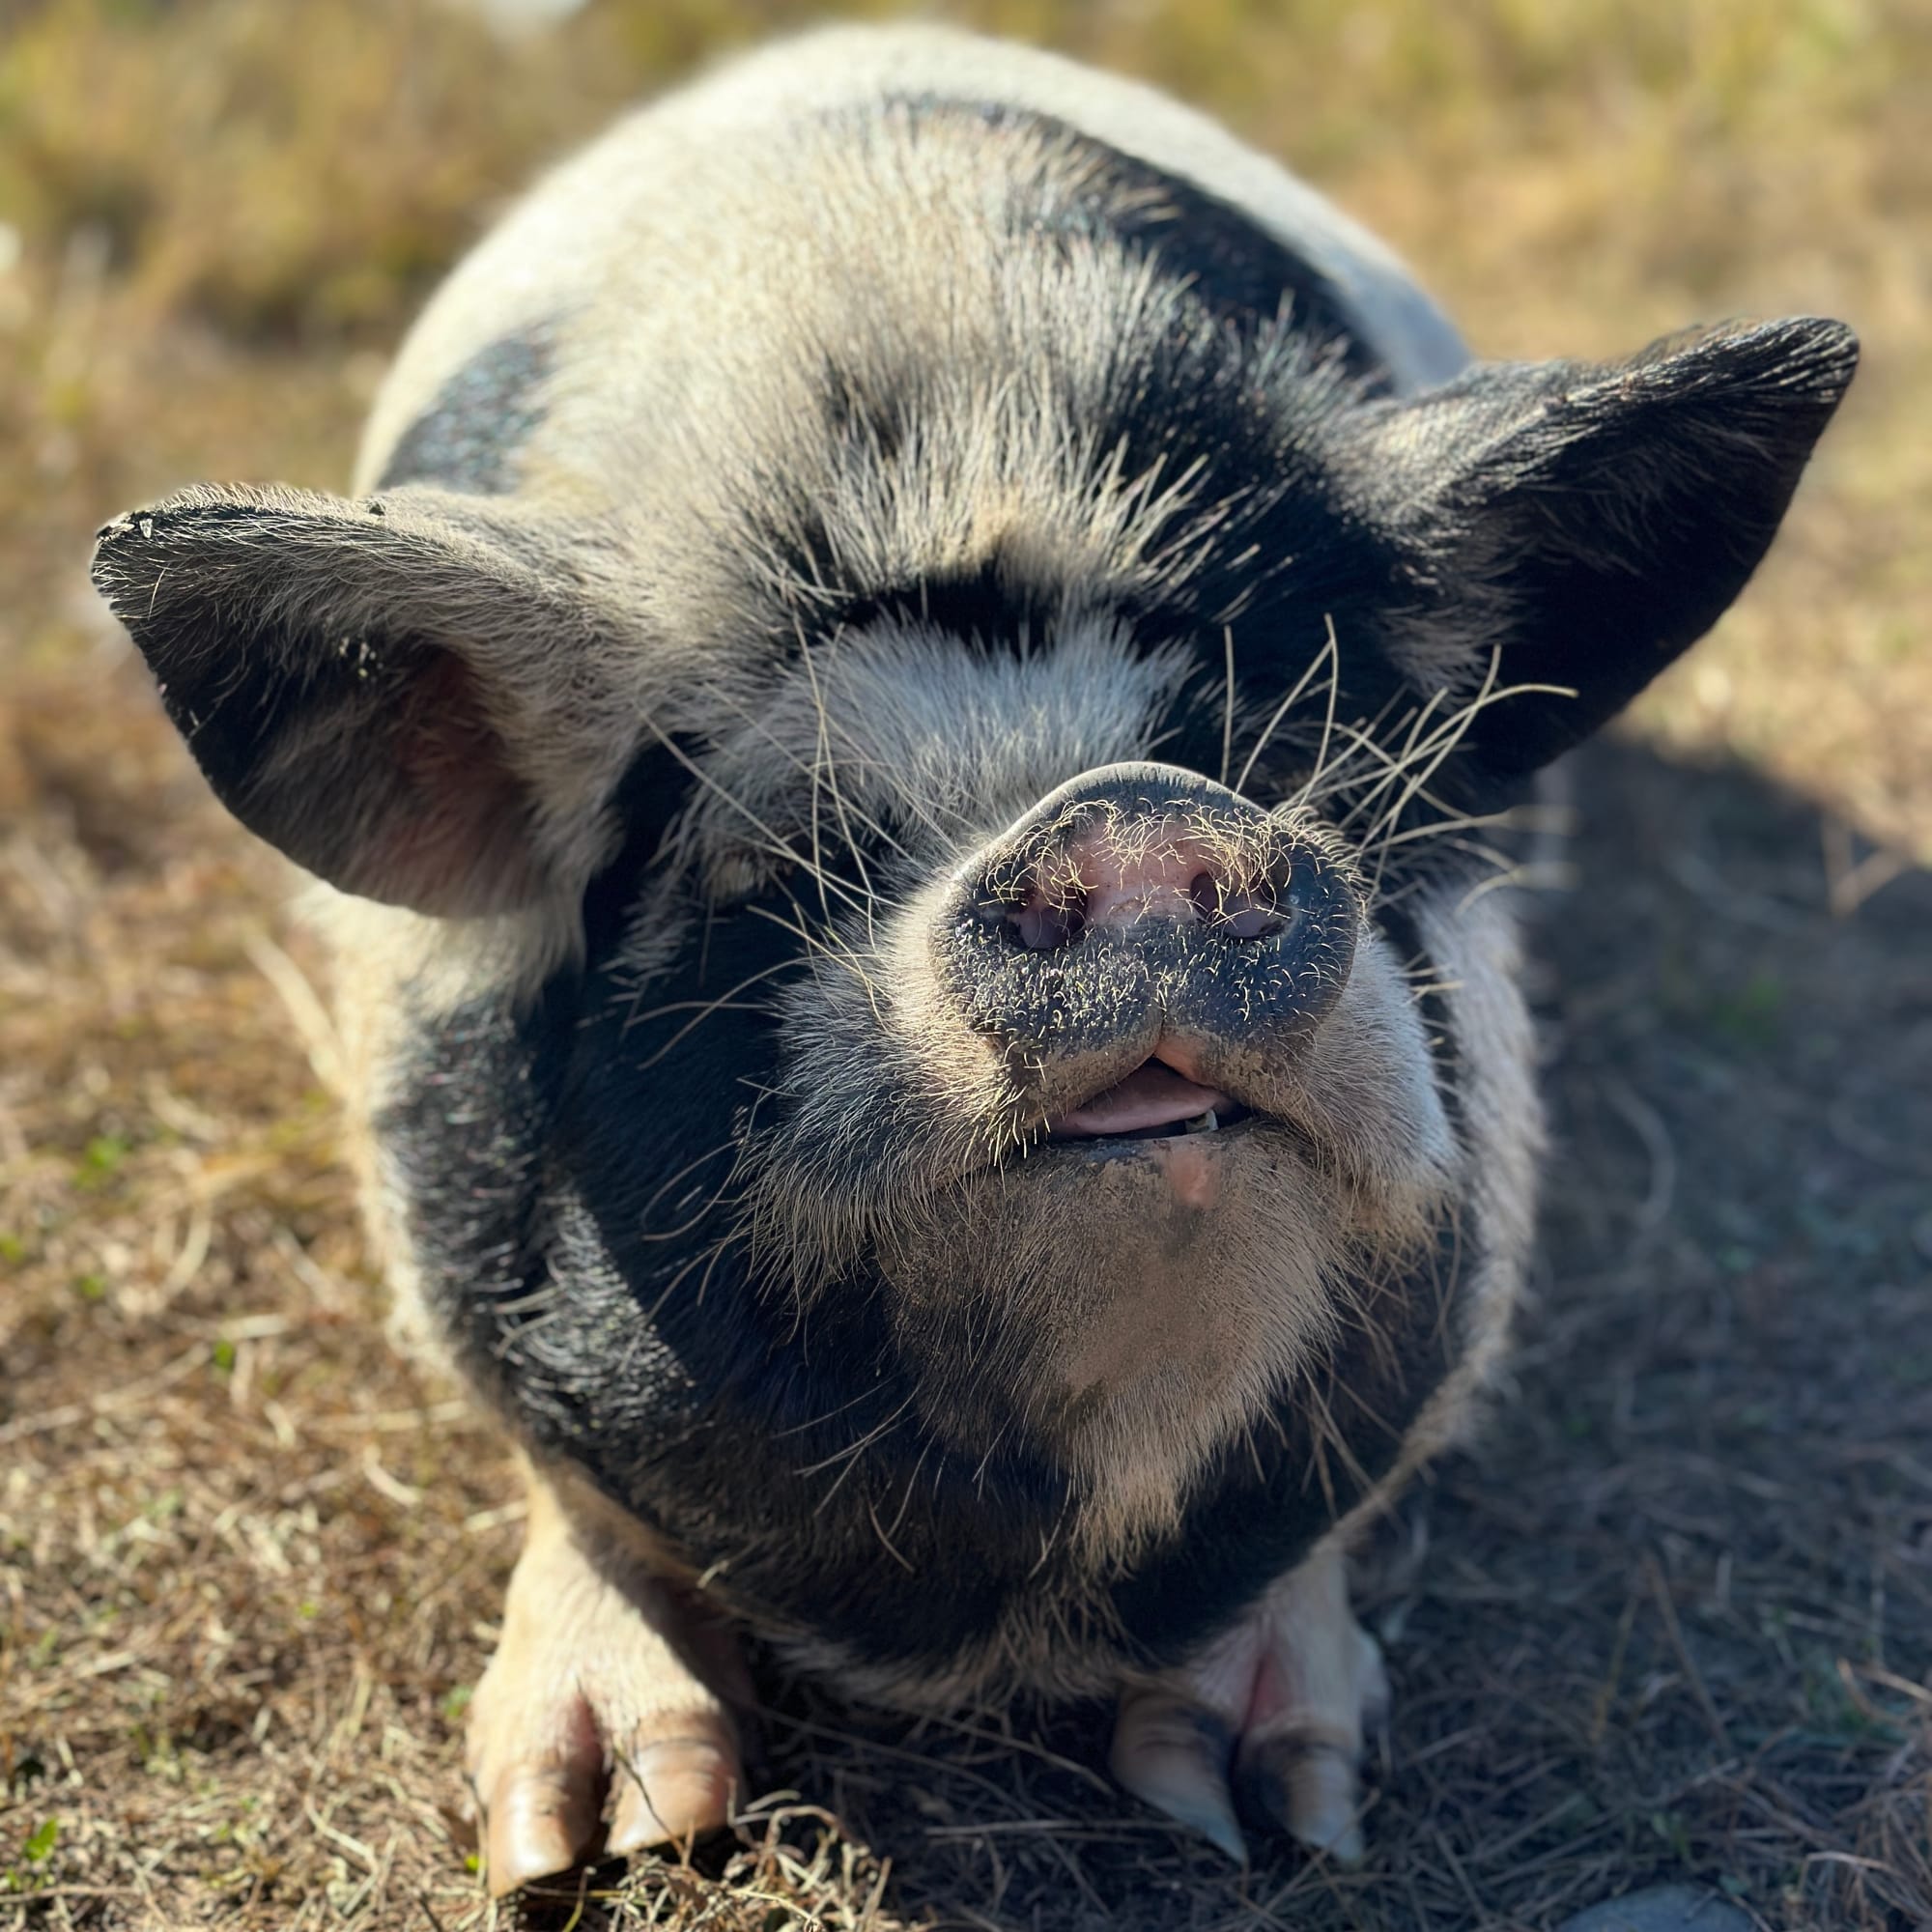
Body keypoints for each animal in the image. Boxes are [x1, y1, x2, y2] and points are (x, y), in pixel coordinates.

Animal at [90, 23, 1857, 1899]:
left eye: (1310, 774)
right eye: (783, 855)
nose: (1136, 815)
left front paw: (1275, 1819)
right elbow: (568, 1482)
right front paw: (594, 1846)